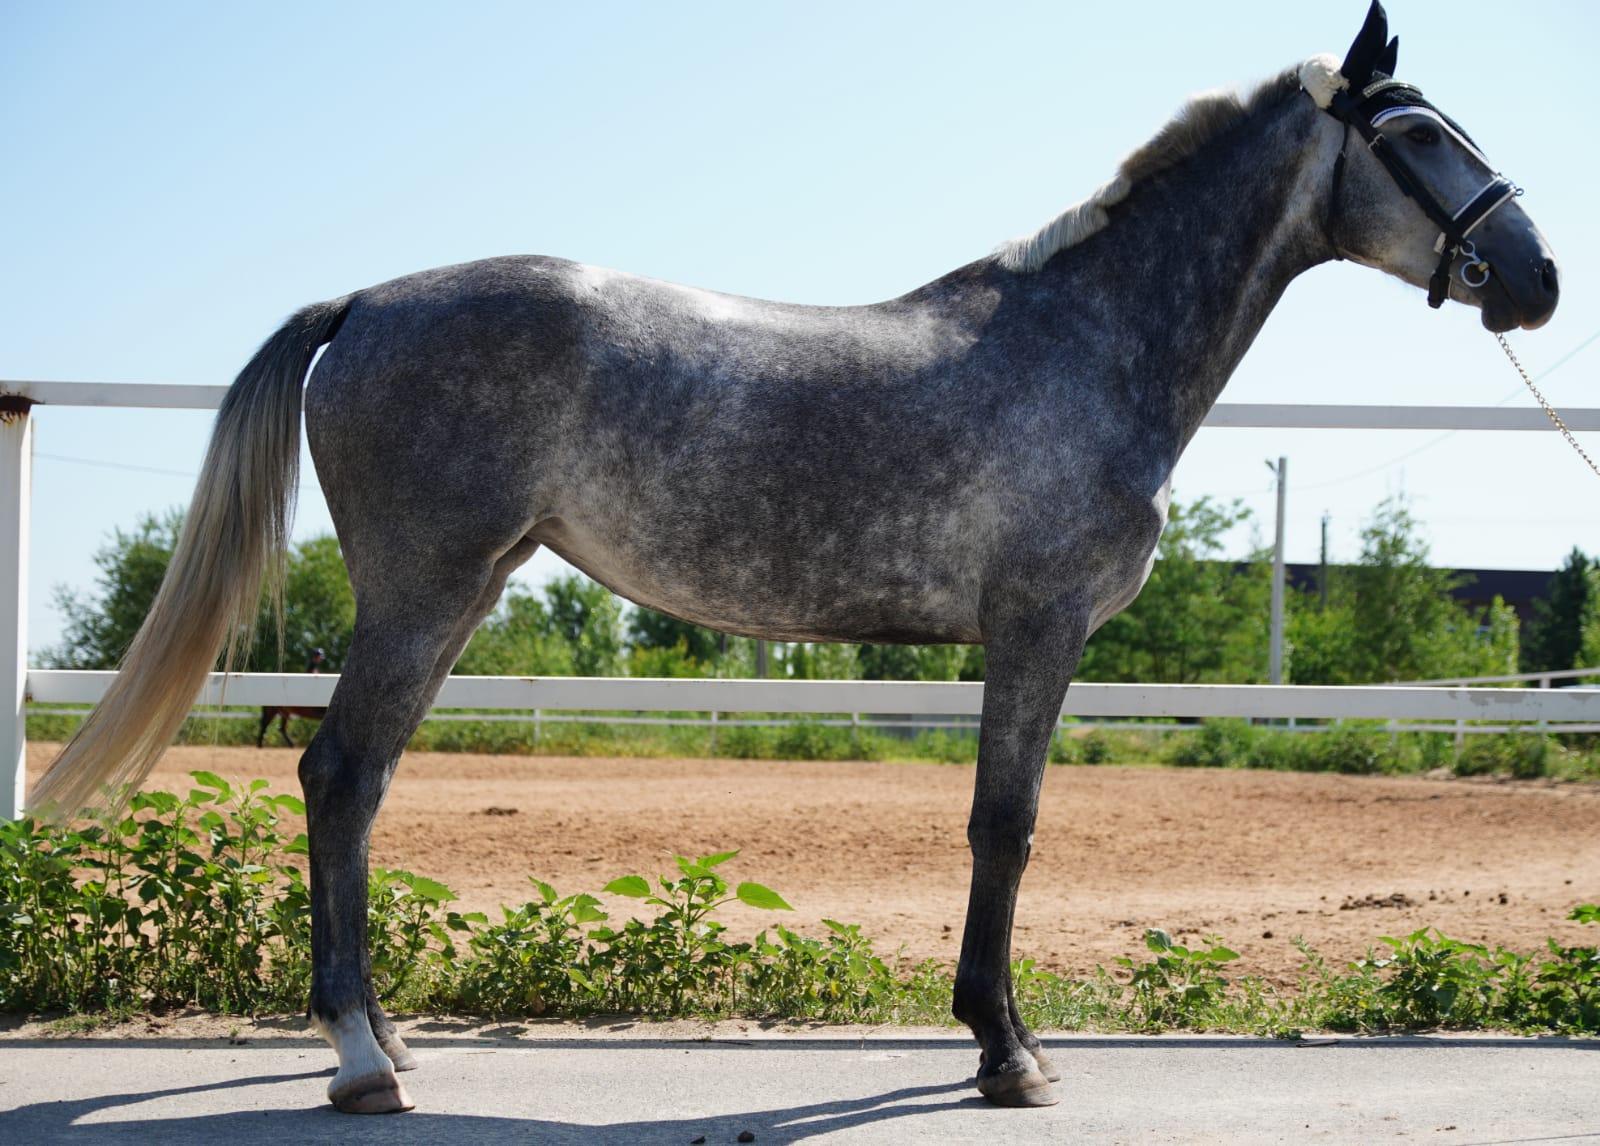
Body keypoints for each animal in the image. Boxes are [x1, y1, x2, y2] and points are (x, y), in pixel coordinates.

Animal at [34, 1, 1558, 1115]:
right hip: (421, 589)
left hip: (461, 590)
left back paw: (391, 1041)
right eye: (1420, 134)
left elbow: (1003, 828)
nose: (1537, 279)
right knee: (340, 776)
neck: (1084, 343)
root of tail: (363, 302)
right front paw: (1007, 1054)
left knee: (363, 785)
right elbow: (1005, 827)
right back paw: (360, 1060)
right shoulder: (1037, 627)